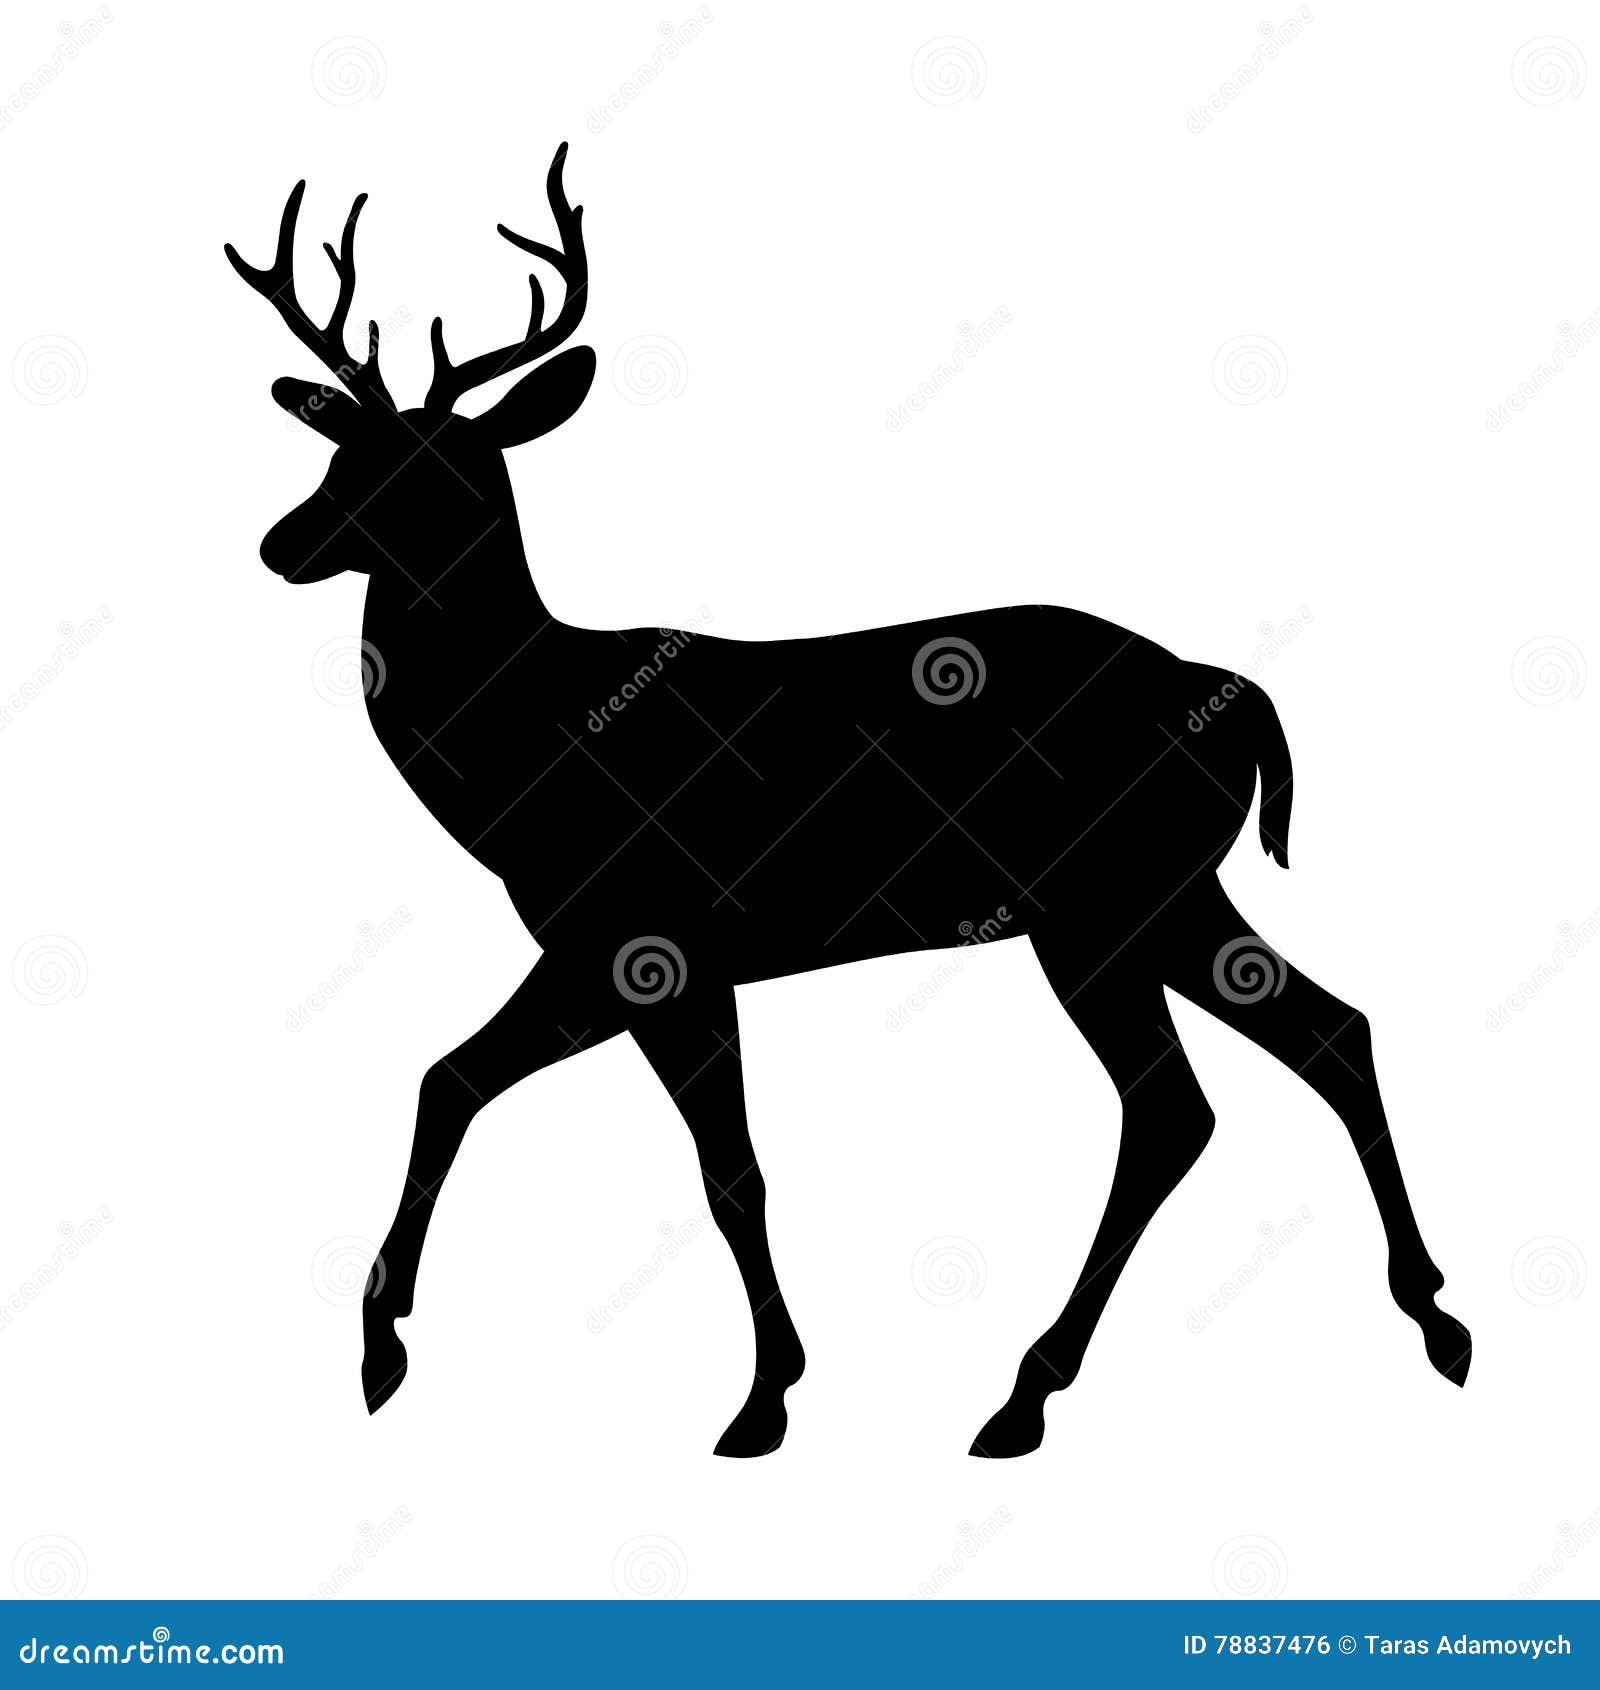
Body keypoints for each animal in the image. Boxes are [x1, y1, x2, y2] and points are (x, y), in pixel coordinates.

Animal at [225, 144, 1470, 1458]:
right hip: (1168, 895)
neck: (533, 747)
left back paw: (1025, 1391)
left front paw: (757, 1398)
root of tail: (1225, 694)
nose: (283, 543)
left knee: (1179, 1102)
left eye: (442, 472)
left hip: (1104, 900)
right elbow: (474, 1087)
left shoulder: (642, 935)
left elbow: (699, 1159)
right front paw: (387, 1349)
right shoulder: (621, 950)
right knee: (1321, 1035)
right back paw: (1431, 1323)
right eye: (340, 451)